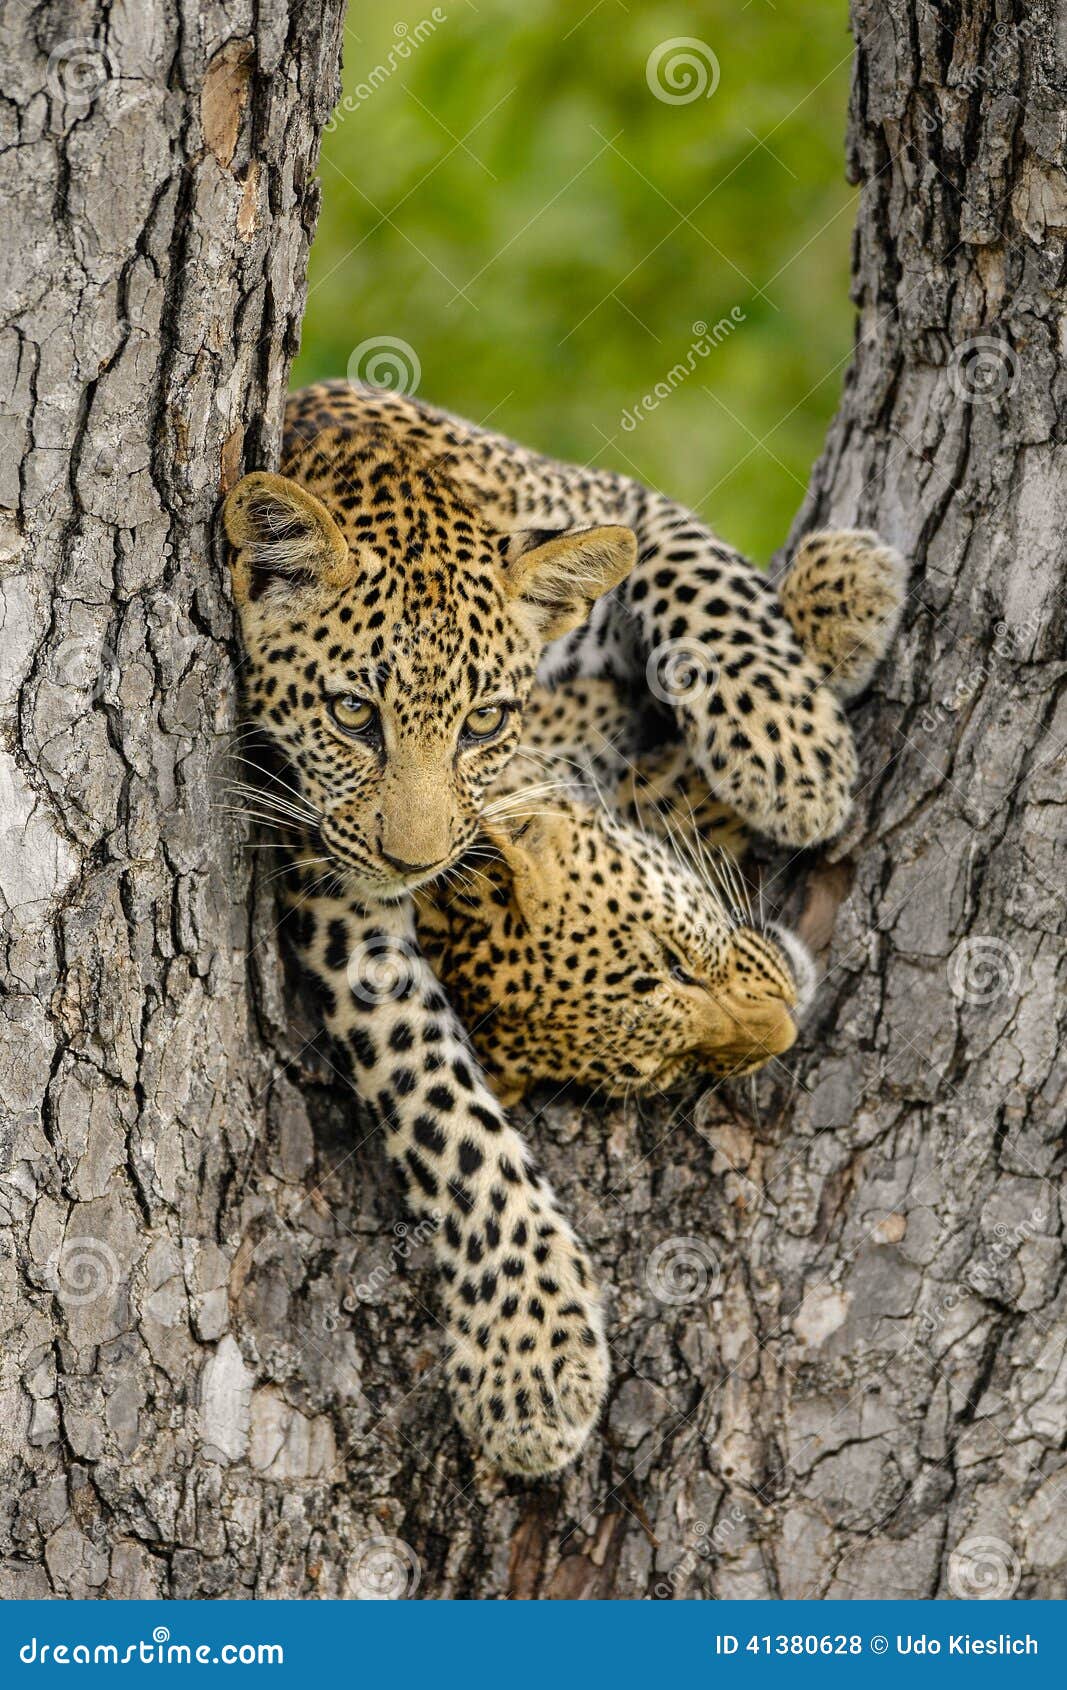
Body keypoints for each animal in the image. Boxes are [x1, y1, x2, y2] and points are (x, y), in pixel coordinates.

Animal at [222, 378, 906, 1477]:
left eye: (480, 722)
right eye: (352, 714)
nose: (416, 861)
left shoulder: (604, 505)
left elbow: (691, 566)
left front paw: (790, 730)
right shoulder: (332, 886)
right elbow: (438, 1103)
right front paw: (529, 1350)